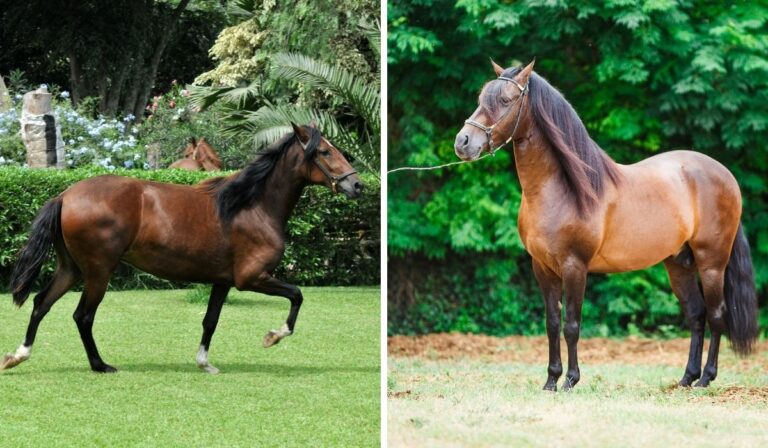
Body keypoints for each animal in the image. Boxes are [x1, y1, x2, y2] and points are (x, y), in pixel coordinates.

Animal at [2, 123, 362, 374]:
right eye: (325, 152)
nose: (356, 184)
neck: (251, 206)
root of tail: (65, 195)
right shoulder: (252, 278)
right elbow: (297, 295)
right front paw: (273, 336)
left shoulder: (223, 281)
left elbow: (210, 321)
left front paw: (205, 363)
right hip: (98, 271)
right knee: (83, 316)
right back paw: (100, 365)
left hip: (72, 268)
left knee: (41, 304)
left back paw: (18, 356)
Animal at [454, 60, 759, 391]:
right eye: (481, 98)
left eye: (506, 100)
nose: (463, 142)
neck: (562, 190)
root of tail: (725, 174)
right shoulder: (543, 268)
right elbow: (552, 324)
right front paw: (551, 380)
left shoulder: (575, 267)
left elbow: (572, 325)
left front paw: (570, 381)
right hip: (678, 264)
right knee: (696, 314)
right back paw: (687, 377)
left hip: (712, 263)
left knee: (716, 315)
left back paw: (705, 378)